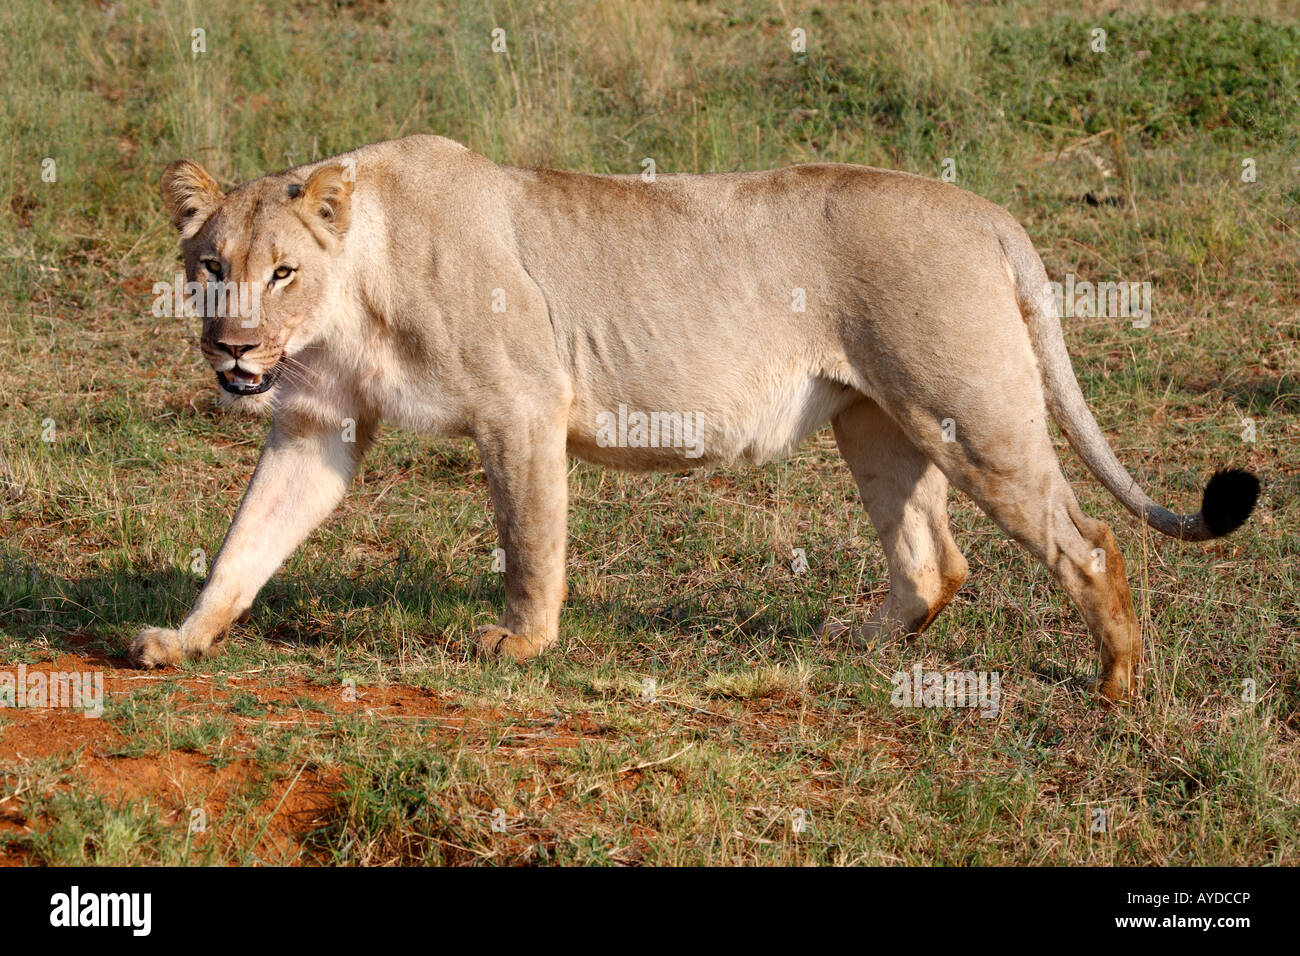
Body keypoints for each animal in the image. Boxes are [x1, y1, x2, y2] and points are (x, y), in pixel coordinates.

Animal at [131, 134, 1259, 701]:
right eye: (210, 267)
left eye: (282, 271)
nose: (232, 350)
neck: (350, 292)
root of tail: (986, 213)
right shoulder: (315, 428)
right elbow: (247, 542)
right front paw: (180, 641)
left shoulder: (522, 402)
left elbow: (530, 542)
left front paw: (520, 645)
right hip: (877, 422)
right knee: (936, 562)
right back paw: (845, 645)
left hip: (970, 414)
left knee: (1089, 541)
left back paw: (1115, 687)